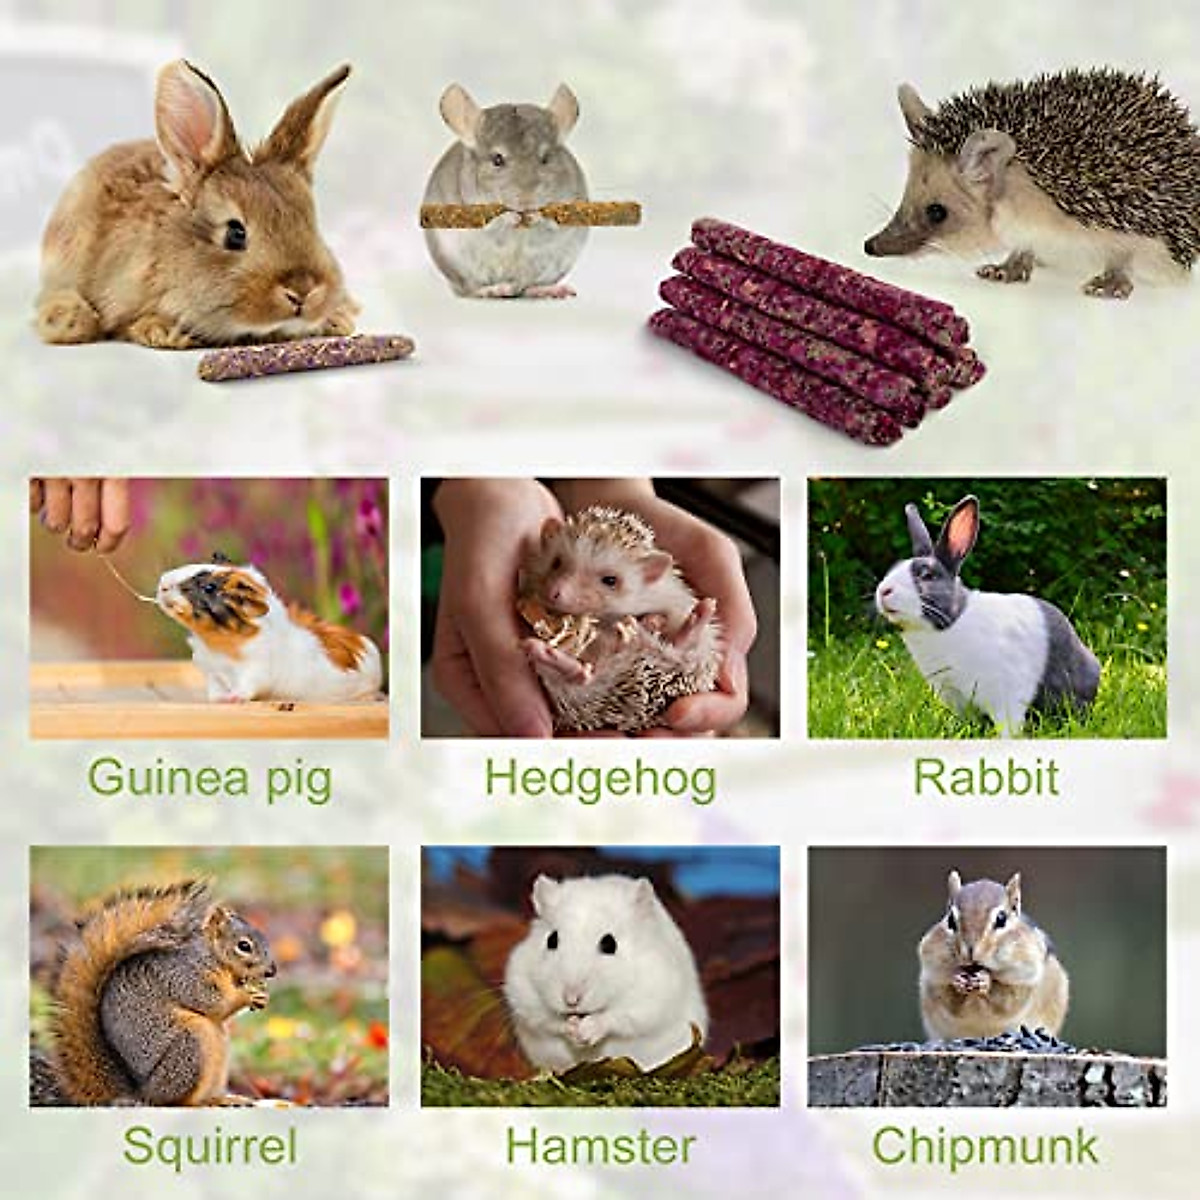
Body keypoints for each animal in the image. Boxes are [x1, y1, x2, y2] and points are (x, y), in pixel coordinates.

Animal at [31, 879, 276, 1106]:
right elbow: (210, 1001)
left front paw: (260, 995)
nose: (272, 971)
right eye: (244, 946)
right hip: (190, 1049)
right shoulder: (184, 975)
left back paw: (223, 1097)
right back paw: (205, 1101)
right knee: (177, 1102)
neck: (212, 956)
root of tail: (141, 1094)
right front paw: (246, 996)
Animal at [36, 60, 359, 348]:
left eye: (313, 225)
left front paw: (338, 320)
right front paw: (164, 331)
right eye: (235, 233)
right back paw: (68, 319)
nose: (303, 291)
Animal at [422, 83, 588, 298]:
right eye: (497, 159)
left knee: (527, 287)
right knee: (470, 289)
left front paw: (536, 215)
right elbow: (492, 222)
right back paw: (494, 289)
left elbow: (554, 222)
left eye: (546, 159)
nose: (526, 202)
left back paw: (550, 290)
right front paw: (511, 216)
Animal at [918, 870, 1069, 1041]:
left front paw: (985, 980)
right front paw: (957, 980)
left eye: (1001, 918)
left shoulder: (1025, 979)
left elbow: (1007, 1000)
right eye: (950, 919)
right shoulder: (934, 977)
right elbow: (948, 999)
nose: (971, 950)